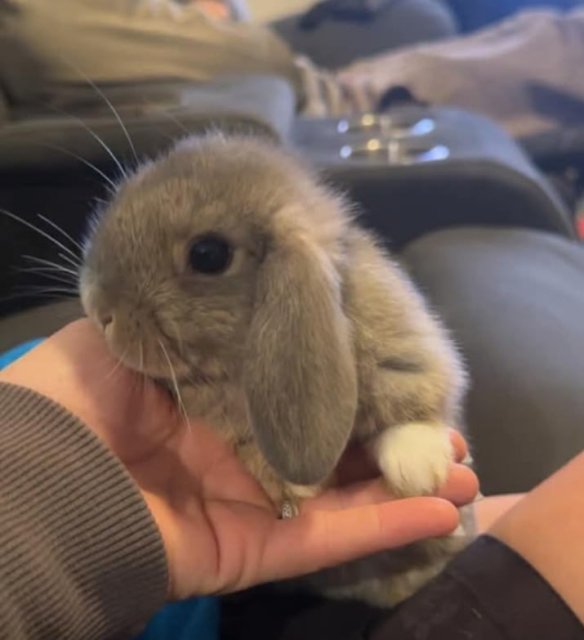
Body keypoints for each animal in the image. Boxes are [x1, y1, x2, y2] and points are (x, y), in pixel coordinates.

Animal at [79, 133, 473, 608]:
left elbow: (414, 404)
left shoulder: (409, 354)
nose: (99, 309)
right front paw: (292, 486)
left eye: (208, 255)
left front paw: (420, 472)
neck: (237, 365)